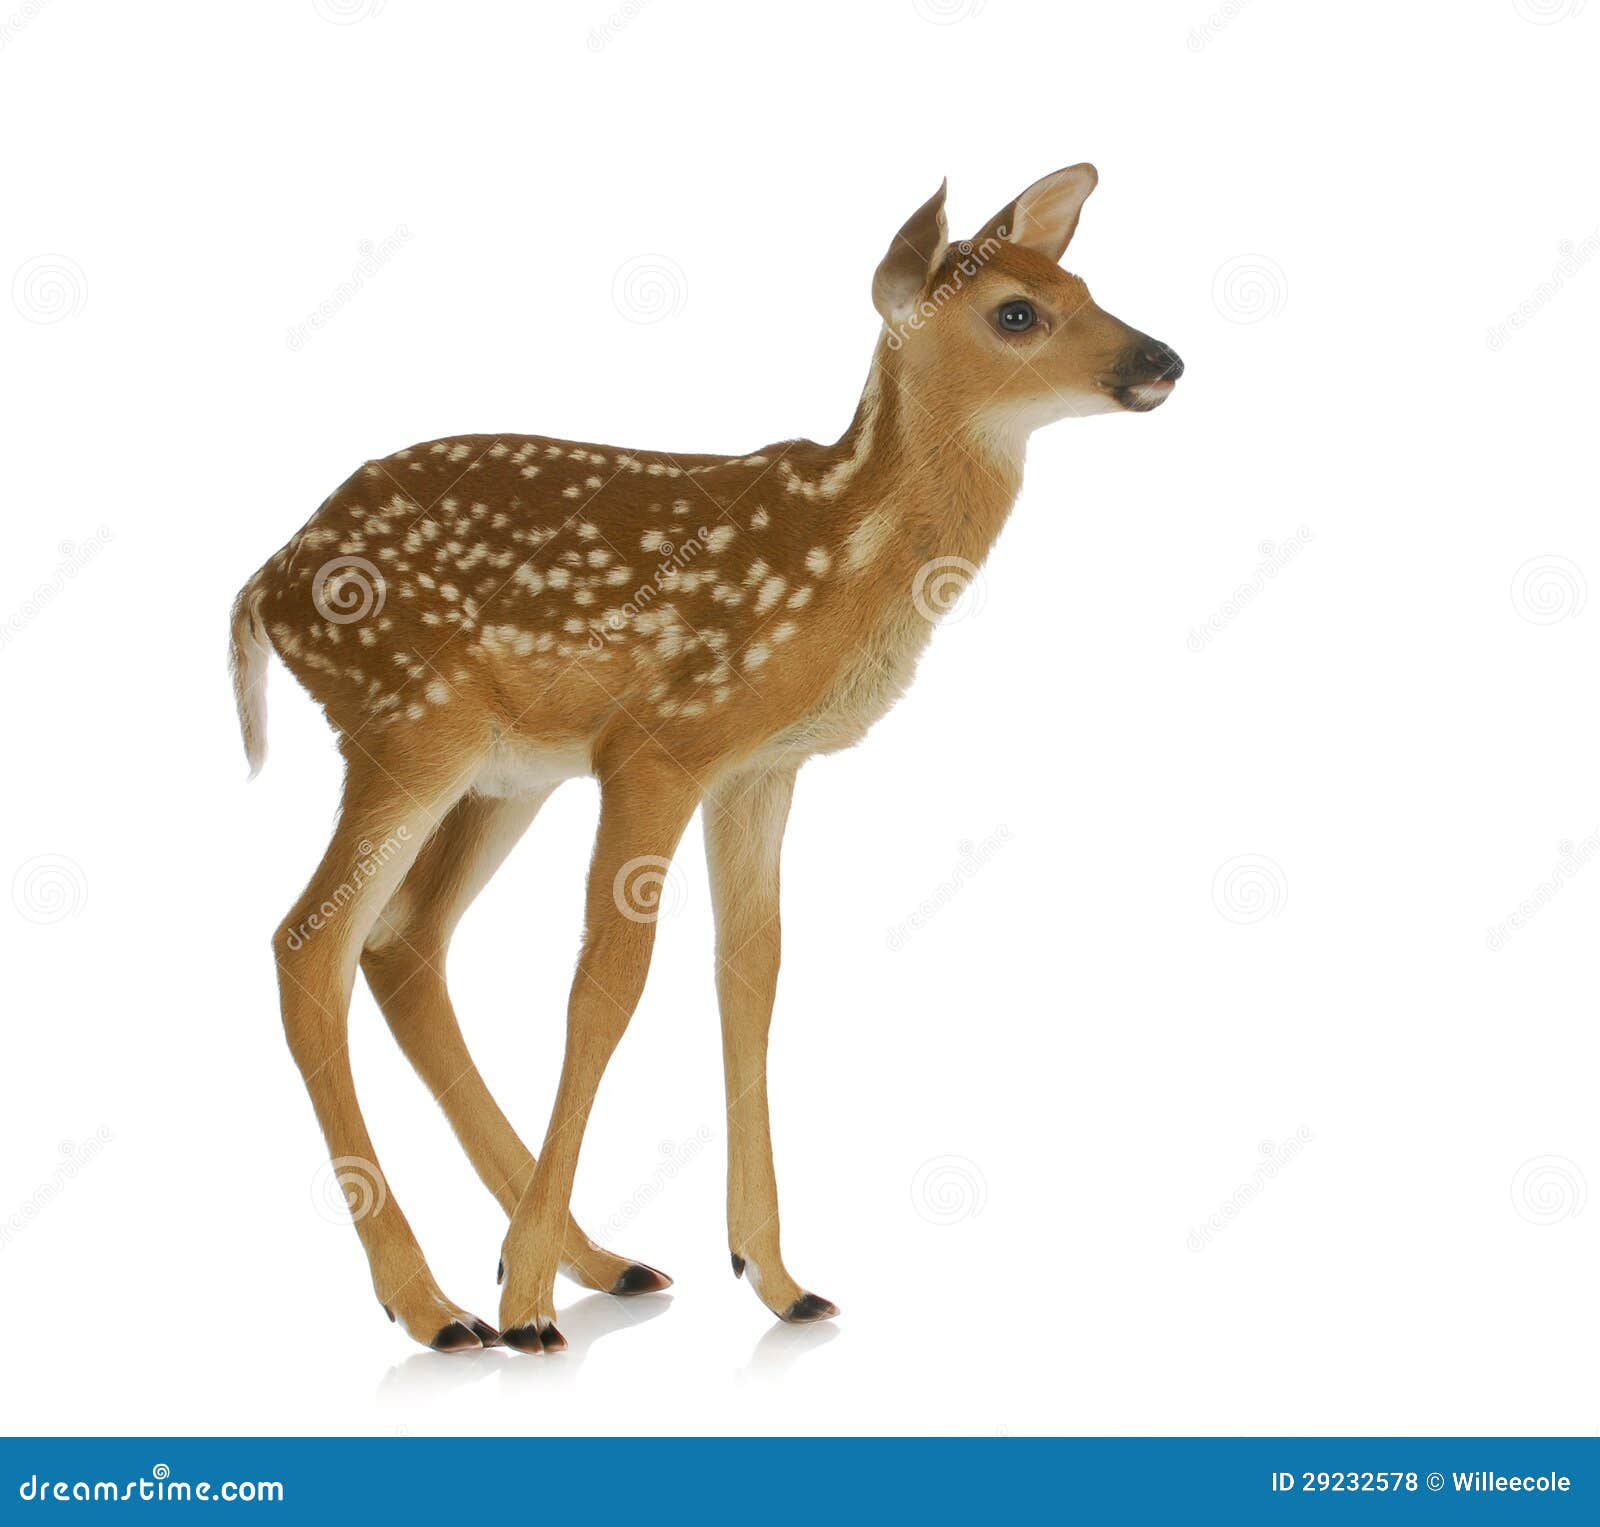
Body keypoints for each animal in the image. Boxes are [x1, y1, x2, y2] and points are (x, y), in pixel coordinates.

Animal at [230, 164, 1183, 1353]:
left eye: (1085, 284)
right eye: (1016, 312)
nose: (1162, 359)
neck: (840, 550)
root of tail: (262, 584)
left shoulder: (759, 767)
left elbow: (750, 974)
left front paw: (777, 1278)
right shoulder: (659, 742)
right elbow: (606, 983)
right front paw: (528, 1304)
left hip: (499, 772)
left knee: (404, 944)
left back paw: (593, 1262)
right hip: (406, 724)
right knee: (307, 941)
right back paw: (446, 1306)